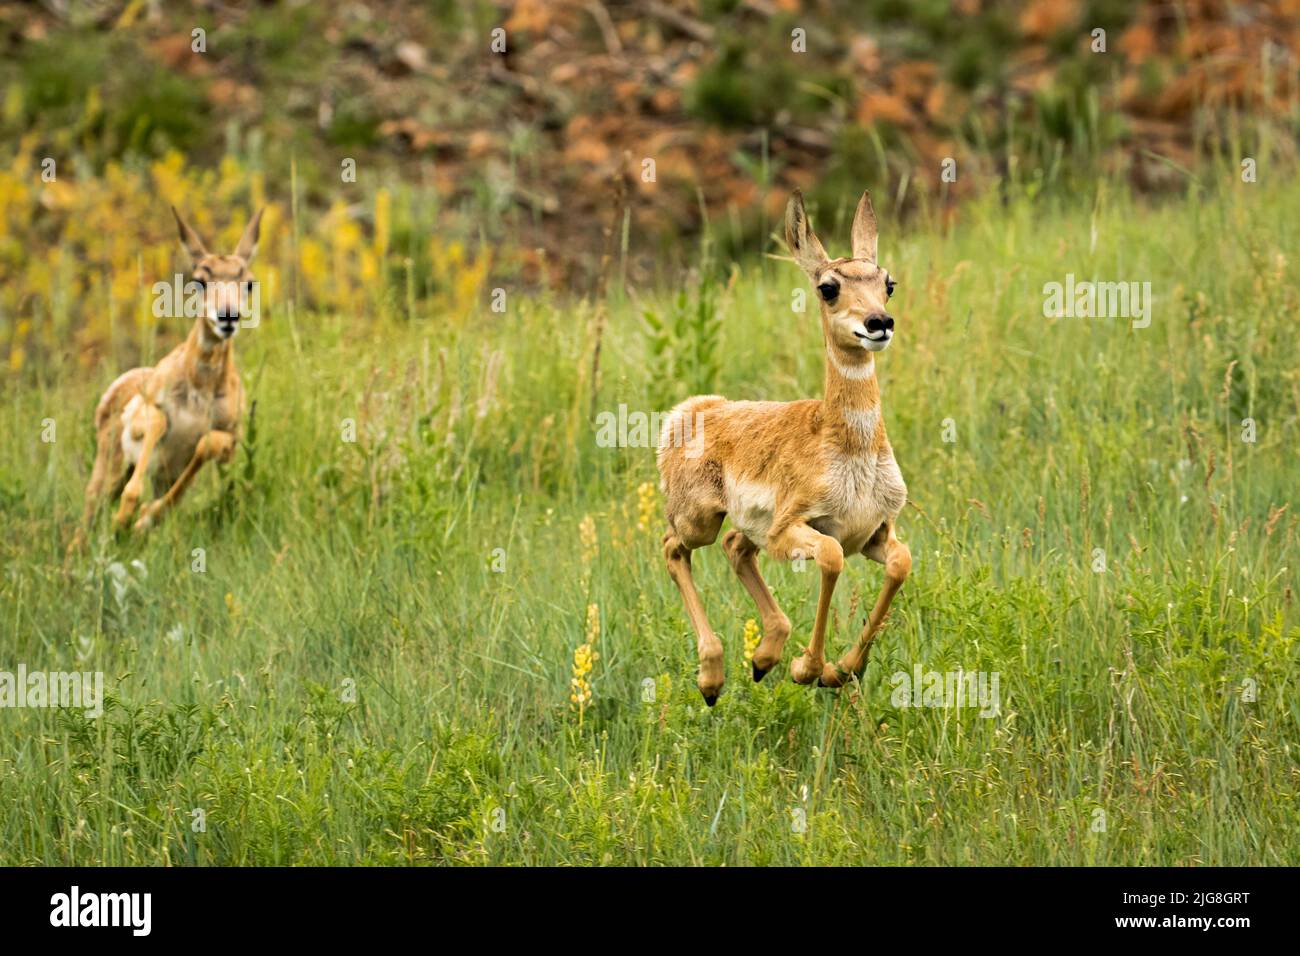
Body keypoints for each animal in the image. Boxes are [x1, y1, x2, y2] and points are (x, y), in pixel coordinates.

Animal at [70, 207, 263, 551]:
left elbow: (206, 445)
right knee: (84, 524)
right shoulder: (148, 414)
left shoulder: (231, 440)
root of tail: (117, 386)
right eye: (199, 280)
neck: (200, 393)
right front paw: (125, 518)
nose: (227, 316)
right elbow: (157, 425)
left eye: (249, 283)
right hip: (107, 473)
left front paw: (144, 519)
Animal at [657, 188, 911, 704]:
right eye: (828, 287)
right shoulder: (793, 529)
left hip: (741, 530)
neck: (852, 451)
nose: (879, 322)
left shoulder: (876, 533)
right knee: (675, 549)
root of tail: (695, 410)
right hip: (698, 521)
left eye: (888, 282)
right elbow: (831, 558)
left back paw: (762, 658)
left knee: (735, 546)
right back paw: (712, 678)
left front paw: (843, 669)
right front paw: (808, 668)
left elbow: (901, 563)